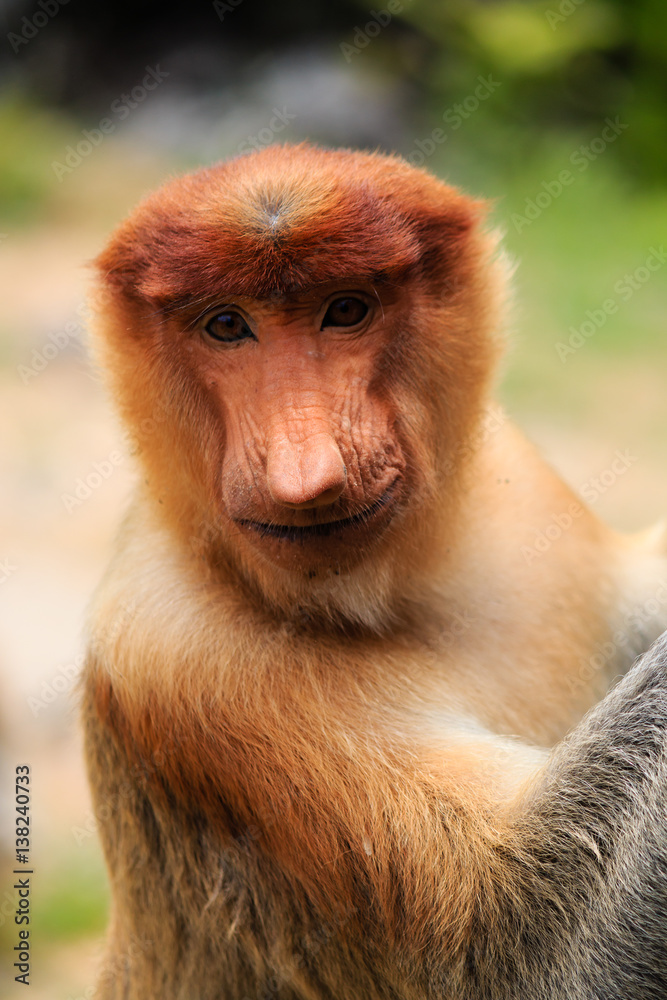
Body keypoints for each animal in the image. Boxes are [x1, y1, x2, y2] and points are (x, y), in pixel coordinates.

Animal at [83, 143, 667, 999]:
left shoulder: (524, 490)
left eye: (346, 310)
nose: (306, 477)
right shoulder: (180, 660)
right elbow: (527, 940)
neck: (389, 595)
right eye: (226, 325)